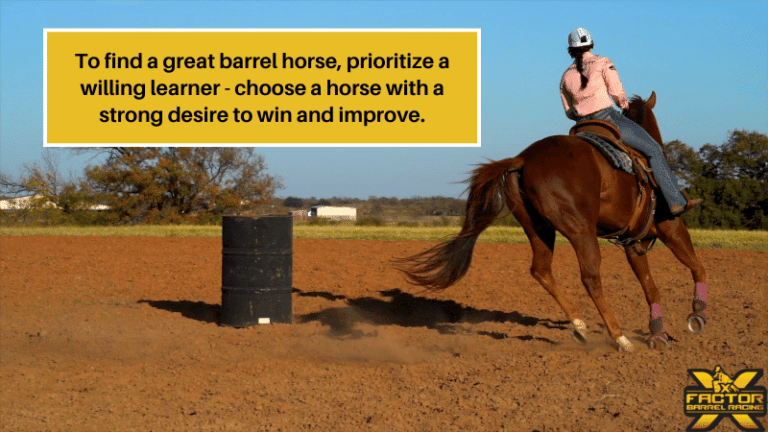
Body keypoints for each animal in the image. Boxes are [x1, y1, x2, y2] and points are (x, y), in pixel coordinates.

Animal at [396, 92, 708, 351]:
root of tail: (522, 159)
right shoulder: (671, 228)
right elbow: (696, 266)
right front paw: (698, 312)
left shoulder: (634, 242)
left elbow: (650, 287)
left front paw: (658, 333)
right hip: (581, 231)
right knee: (590, 276)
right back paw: (619, 337)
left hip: (538, 229)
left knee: (541, 270)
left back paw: (580, 325)